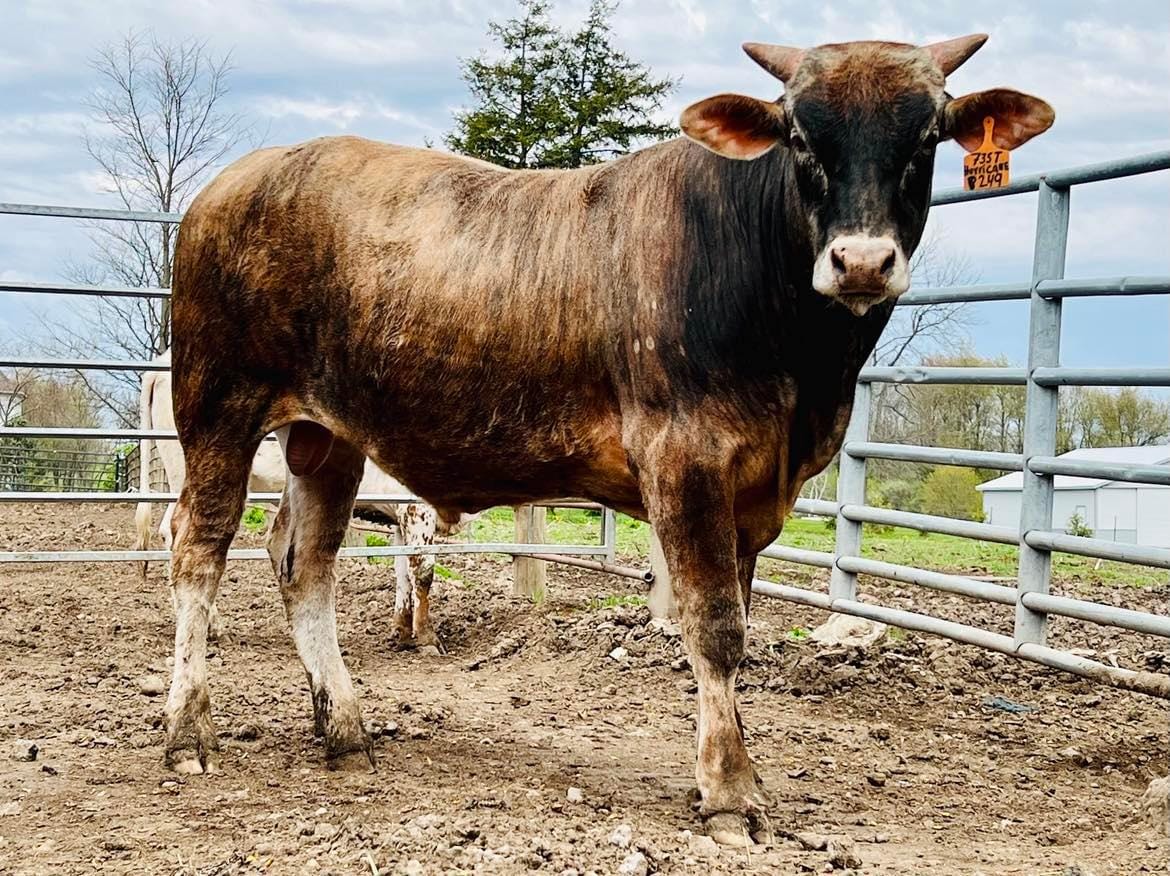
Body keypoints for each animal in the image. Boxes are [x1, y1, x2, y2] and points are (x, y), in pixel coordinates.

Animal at [134, 354, 458, 648]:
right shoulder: (417, 509)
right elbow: (423, 570)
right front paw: (428, 638)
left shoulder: (399, 516)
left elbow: (402, 571)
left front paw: (402, 632)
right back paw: (211, 625)